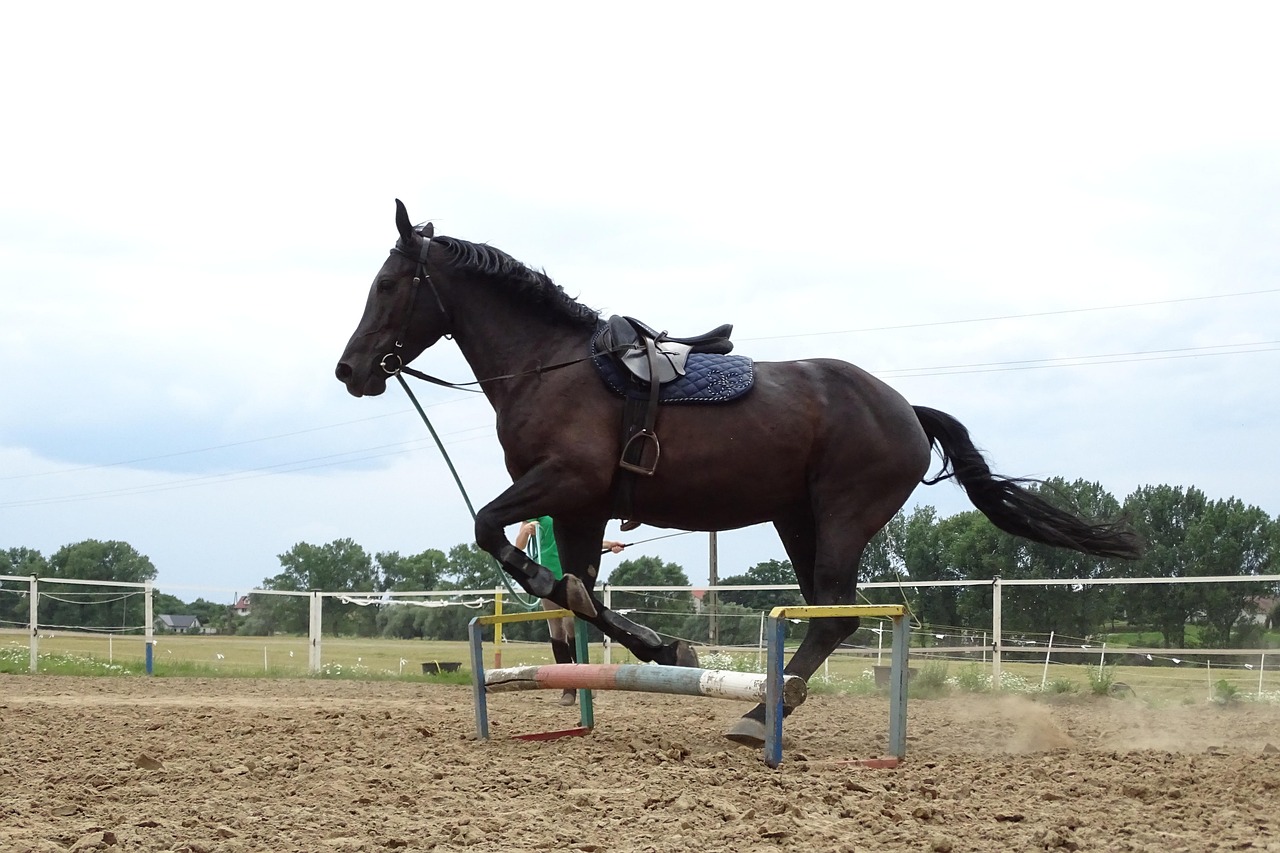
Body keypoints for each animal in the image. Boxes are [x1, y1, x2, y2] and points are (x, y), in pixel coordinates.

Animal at [335, 200, 1142, 746]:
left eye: (388, 284)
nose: (350, 369)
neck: (549, 367)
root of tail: (906, 409)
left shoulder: (567, 482)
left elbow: (499, 536)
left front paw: (663, 646)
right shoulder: (582, 508)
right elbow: (577, 591)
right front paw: (658, 647)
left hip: (841, 514)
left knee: (837, 613)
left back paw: (761, 713)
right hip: (795, 518)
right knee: (828, 613)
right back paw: (766, 705)